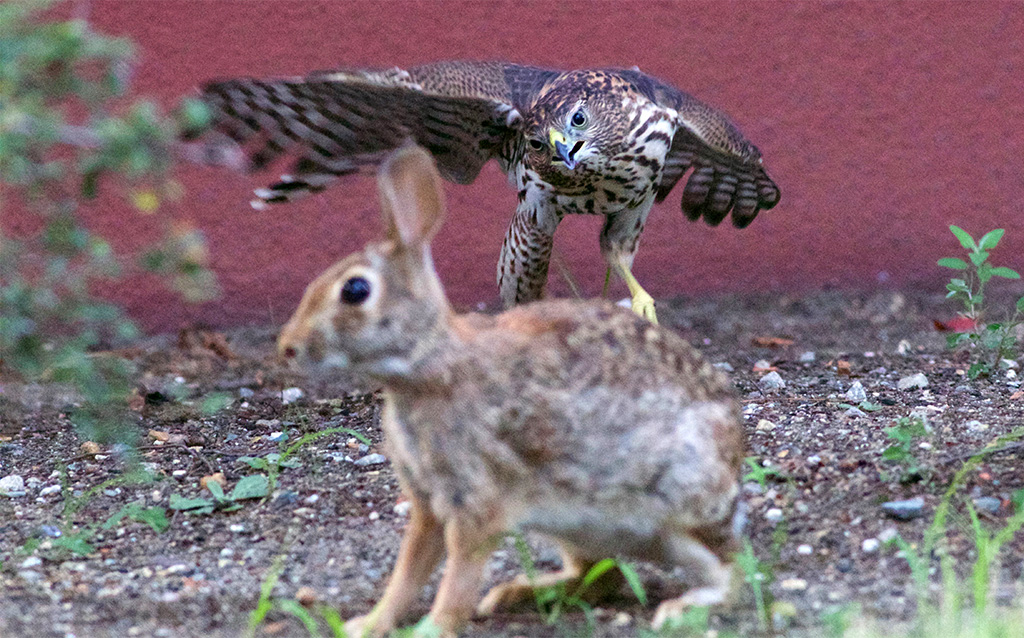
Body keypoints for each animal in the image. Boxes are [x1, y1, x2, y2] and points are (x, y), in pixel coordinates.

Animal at [277, 144, 746, 637]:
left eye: (355, 290)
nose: (287, 347)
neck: (430, 365)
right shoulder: (427, 505)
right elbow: (407, 575)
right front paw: (367, 625)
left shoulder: (476, 503)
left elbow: (457, 580)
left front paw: (432, 628)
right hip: (574, 523)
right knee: (602, 578)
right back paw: (517, 594)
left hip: (680, 512)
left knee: (732, 574)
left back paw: (680, 608)